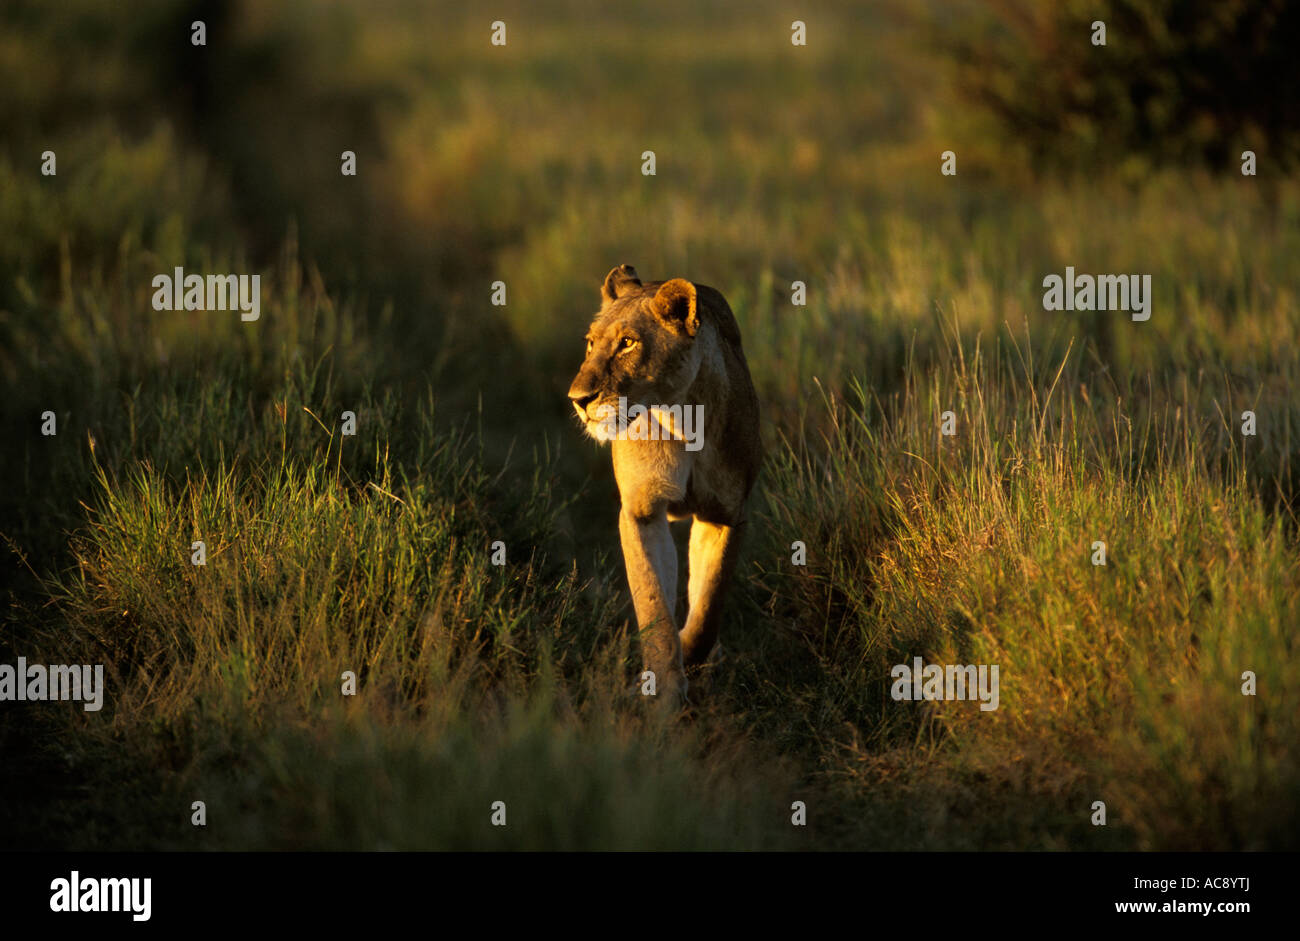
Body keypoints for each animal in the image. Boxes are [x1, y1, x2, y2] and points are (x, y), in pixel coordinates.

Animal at [567, 264, 762, 706]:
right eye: (590, 344)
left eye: (627, 343)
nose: (578, 399)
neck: (682, 421)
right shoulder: (642, 512)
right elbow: (654, 601)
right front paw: (664, 687)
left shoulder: (727, 515)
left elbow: (708, 605)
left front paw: (693, 654)